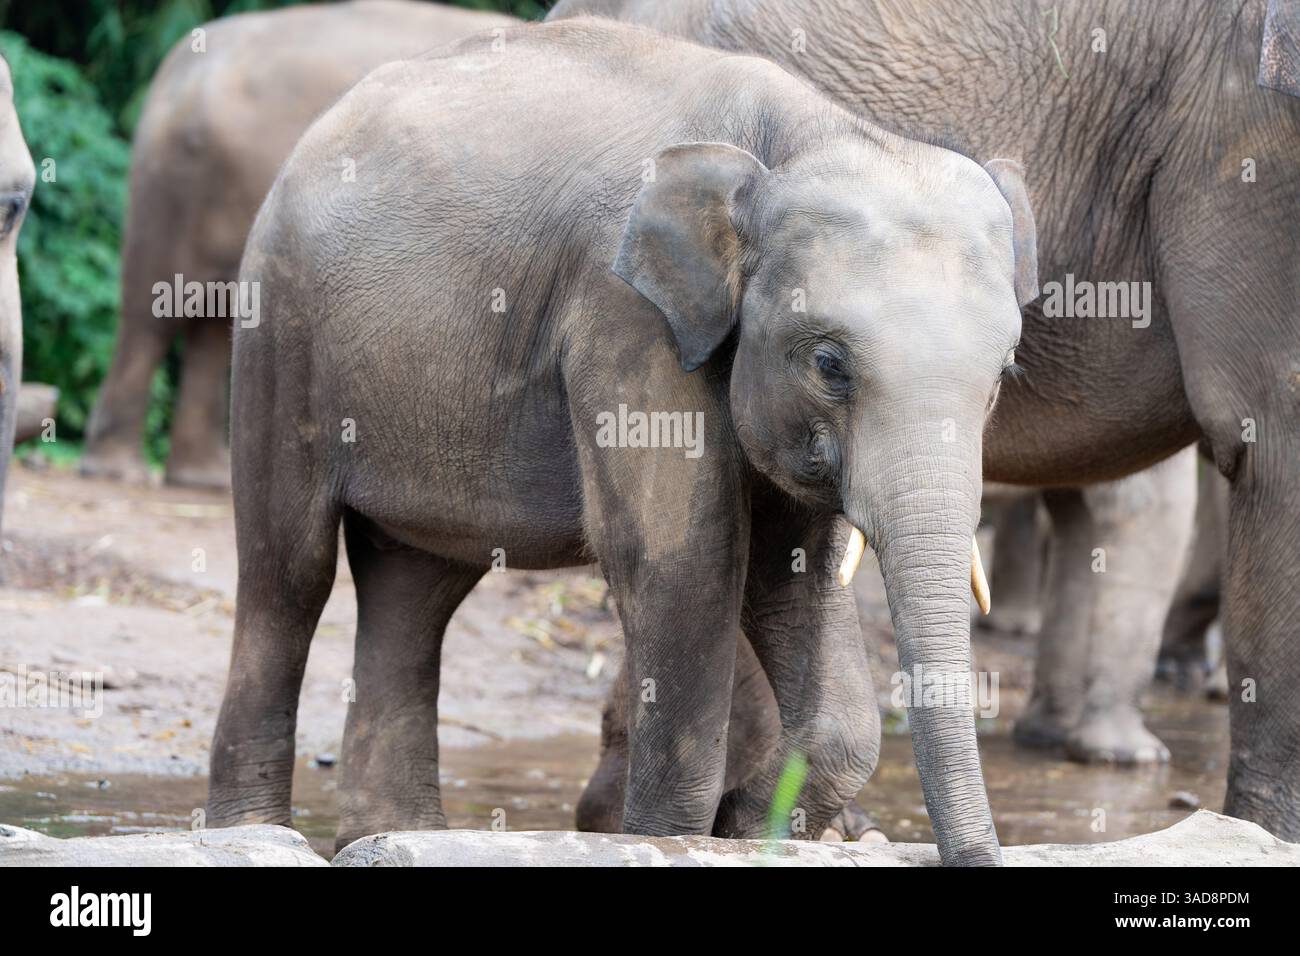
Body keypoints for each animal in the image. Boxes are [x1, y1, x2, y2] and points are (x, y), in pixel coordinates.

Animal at [79, 0, 514, 489]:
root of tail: (172, 69)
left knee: (213, 321)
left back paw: (204, 478)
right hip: (175, 184)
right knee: (154, 309)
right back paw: (120, 471)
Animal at [207, 18, 1039, 865]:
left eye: (1005, 368)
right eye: (830, 364)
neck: (796, 137)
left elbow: (790, 571)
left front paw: (745, 825)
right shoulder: (622, 315)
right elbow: (685, 559)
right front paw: (677, 837)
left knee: (415, 585)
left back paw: (393, 835)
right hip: (280, 325)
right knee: (288, 571)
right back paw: (253, 831)